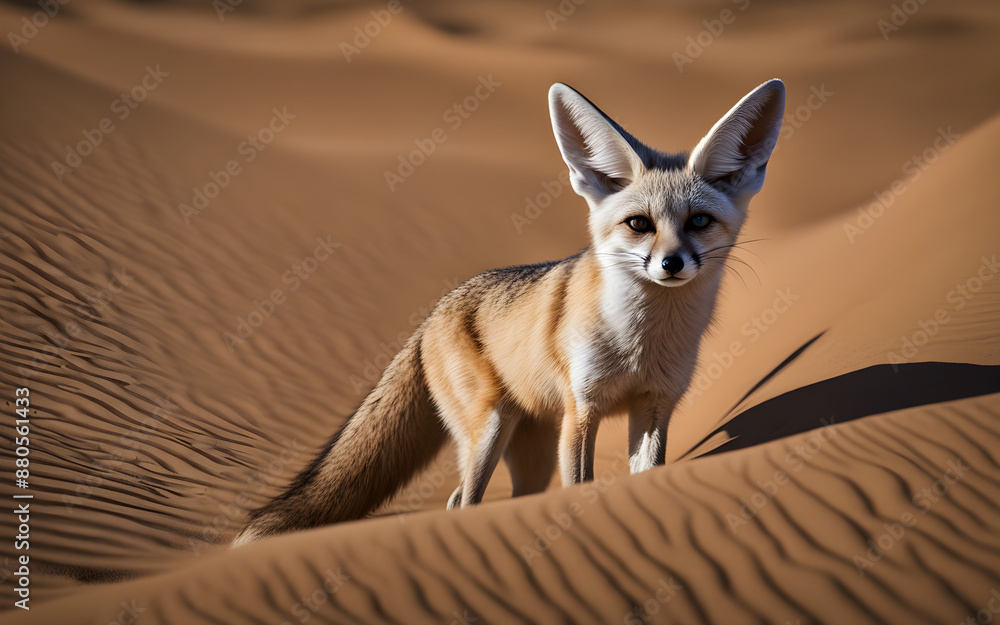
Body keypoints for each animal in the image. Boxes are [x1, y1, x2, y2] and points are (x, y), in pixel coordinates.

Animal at [232, 78, 785, 546]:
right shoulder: (583, 410)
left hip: (532, 458)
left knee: (494, 500)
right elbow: (580, 485)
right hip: (489, 433)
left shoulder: (655, 407)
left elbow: (645, 475)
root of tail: (435, 311)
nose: (671, 264)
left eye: (699, 222)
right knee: (463, 500)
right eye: (639, 224)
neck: (642, 341)